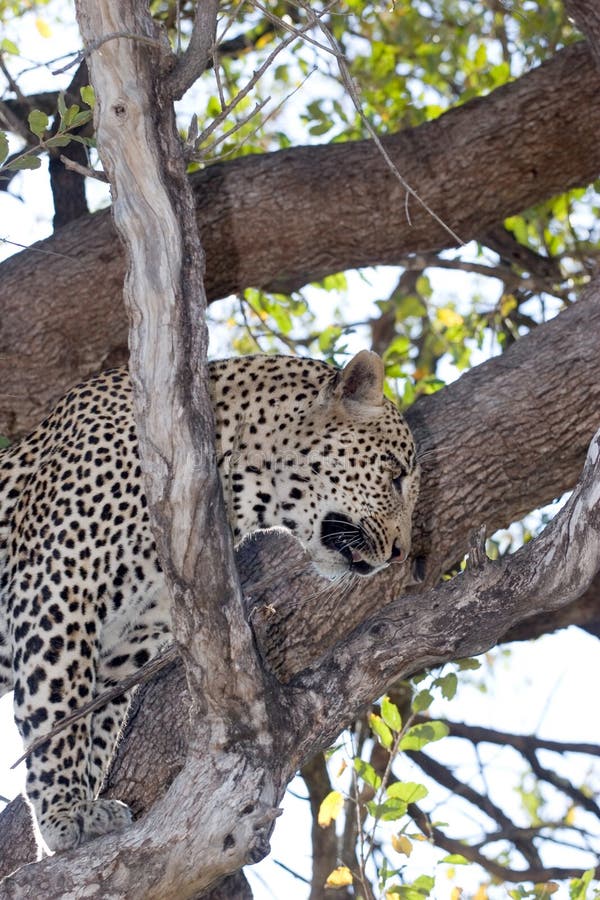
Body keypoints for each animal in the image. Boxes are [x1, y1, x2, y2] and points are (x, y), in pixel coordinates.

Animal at [0, 349, 419, 854]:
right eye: (394, 474)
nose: (400, 553)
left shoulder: (128, 643)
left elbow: (99, 723)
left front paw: (85, 809)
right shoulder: (58, 584)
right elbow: (57, 711)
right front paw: (62, 814)